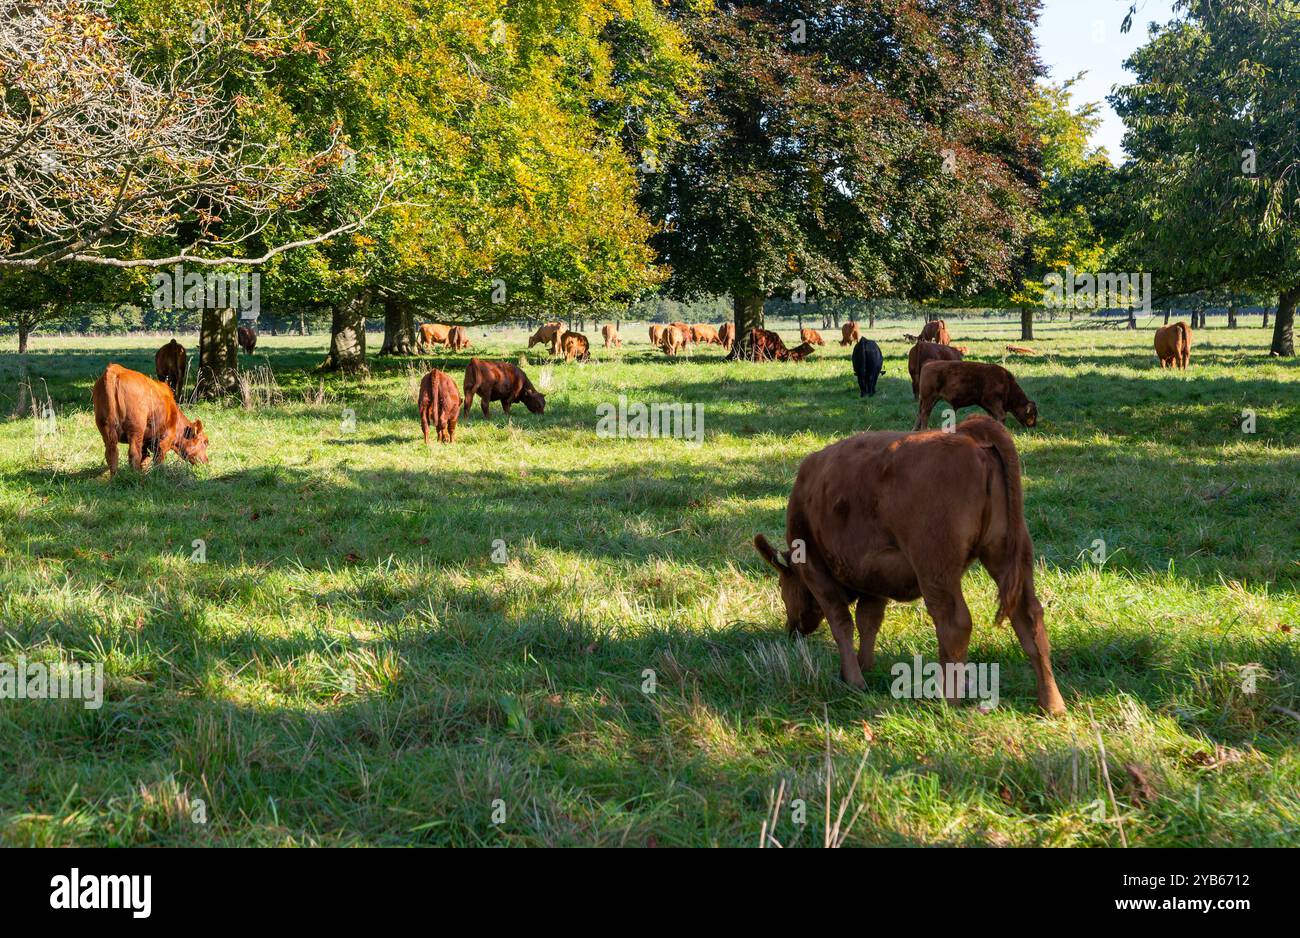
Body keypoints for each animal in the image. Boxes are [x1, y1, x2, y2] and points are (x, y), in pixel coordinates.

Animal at [753, 416, 1065, 713]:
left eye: (782, 585)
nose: (792, 629)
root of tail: (969, 434)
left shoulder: (817, 572)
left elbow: (842, 623)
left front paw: (853, 679)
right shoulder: (873, 579)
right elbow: (869, 621)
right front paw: (864, 666)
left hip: (936, 567)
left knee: (954, 622)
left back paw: (947, 700)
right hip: (1007, 555)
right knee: (1028, 617)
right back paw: (1051, 703)